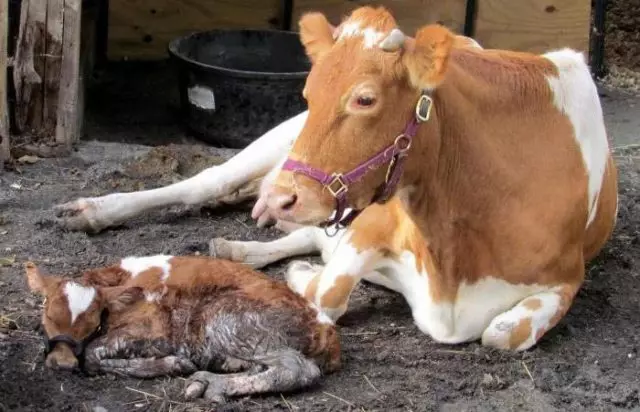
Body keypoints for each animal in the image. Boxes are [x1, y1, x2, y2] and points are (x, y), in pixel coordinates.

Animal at [26, 254, 340, 402]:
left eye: (91, 322)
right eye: (48, 316)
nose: (62, 363)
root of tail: (325, 326)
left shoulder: (154, 329)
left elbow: (92, 353)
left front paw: (173, 363)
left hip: (228, 318)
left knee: (296, 369)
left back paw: (212, 384)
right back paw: (212, 376)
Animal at [53, 5, 616, 350]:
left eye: (364, 98)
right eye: (308, 92)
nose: (282, 197)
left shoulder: (566, 278)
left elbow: (503, 333)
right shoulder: (374, 222)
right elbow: (327, 291)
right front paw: (304, 277)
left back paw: (241, 247)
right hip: (277, 144)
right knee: (206, 182)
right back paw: (91, 211)